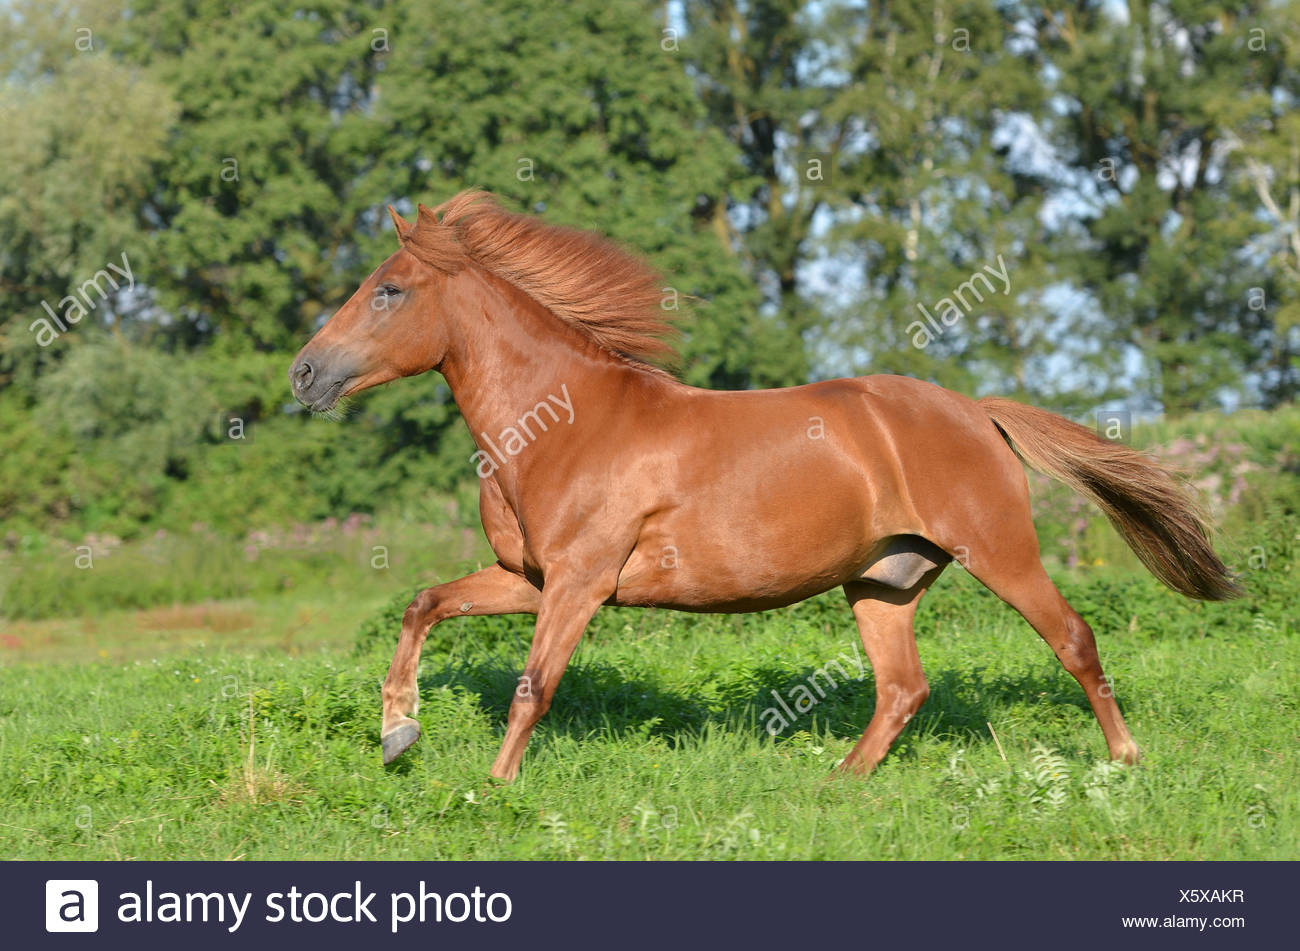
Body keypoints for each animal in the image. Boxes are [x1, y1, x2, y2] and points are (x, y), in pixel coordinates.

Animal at [289, 190, 1240, 783]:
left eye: (388, 291)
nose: (303, 374)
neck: (559, 421)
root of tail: (976, 411)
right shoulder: (531, 579)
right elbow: (422, 603)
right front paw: (397, 734)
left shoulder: (579, 582)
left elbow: (532, 685)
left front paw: (492, 785)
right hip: (882, 581)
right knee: (903, 688)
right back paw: (838, 781)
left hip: (998, 551)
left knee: (1072, 639)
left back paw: (1124, 760)